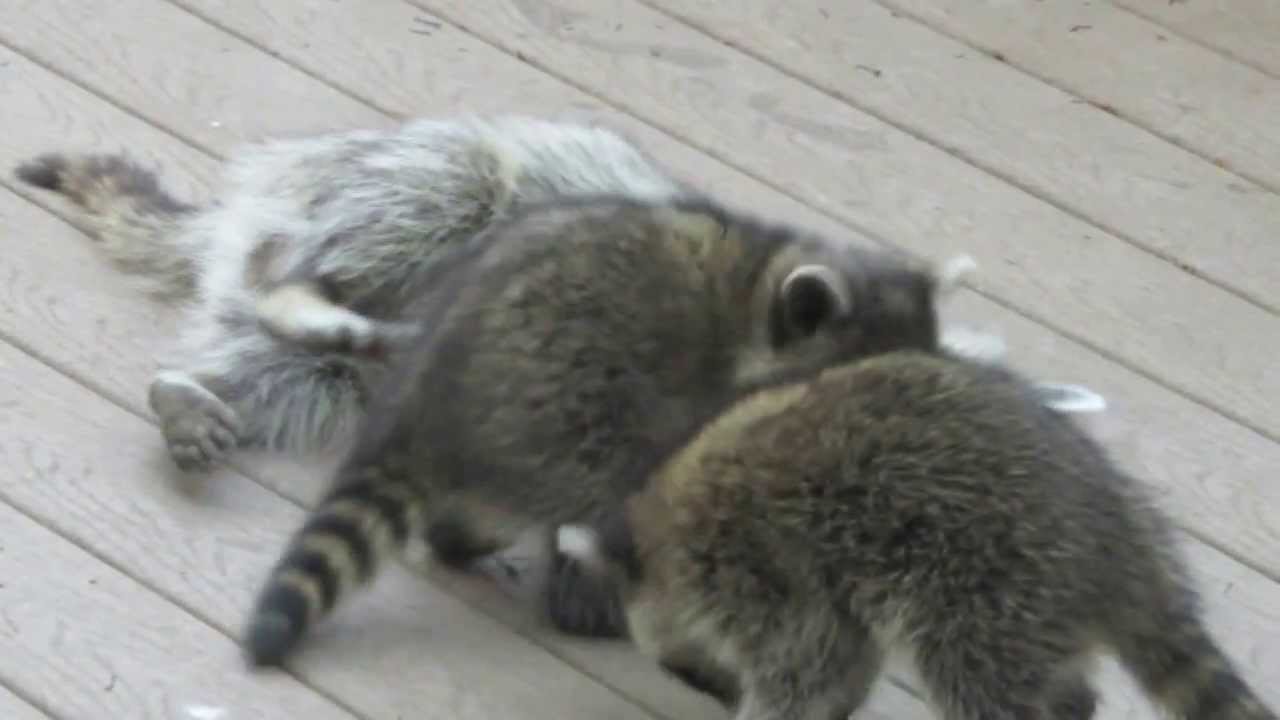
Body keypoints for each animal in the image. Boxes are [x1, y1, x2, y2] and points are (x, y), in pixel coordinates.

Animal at [560, 351, 1274, 720]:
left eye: (682, 669)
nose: (705, 685)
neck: (661, 528)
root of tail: (1119, 540)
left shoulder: (757, 565)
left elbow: (805, 663)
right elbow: (843, 656)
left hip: (991, 579)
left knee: (978, 678)